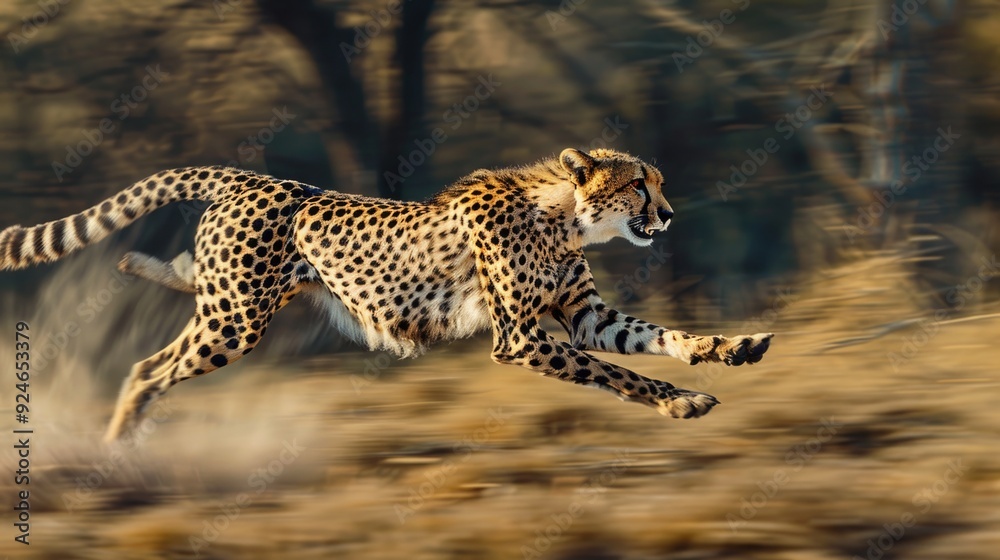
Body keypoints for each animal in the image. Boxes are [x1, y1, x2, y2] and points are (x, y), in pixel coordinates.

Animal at [0, 148, 772, 443]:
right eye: (639, 184)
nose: (668, 214)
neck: (564, 214)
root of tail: (250, 176)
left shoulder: (583, 317)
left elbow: (656, 336)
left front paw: (728, 349)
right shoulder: (522, 339)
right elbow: (618, 372)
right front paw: (679, 401)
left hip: (237, 299)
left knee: (179, 281)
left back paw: (139, 263)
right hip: (234, 321)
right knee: (147, 368)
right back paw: (116, 446)